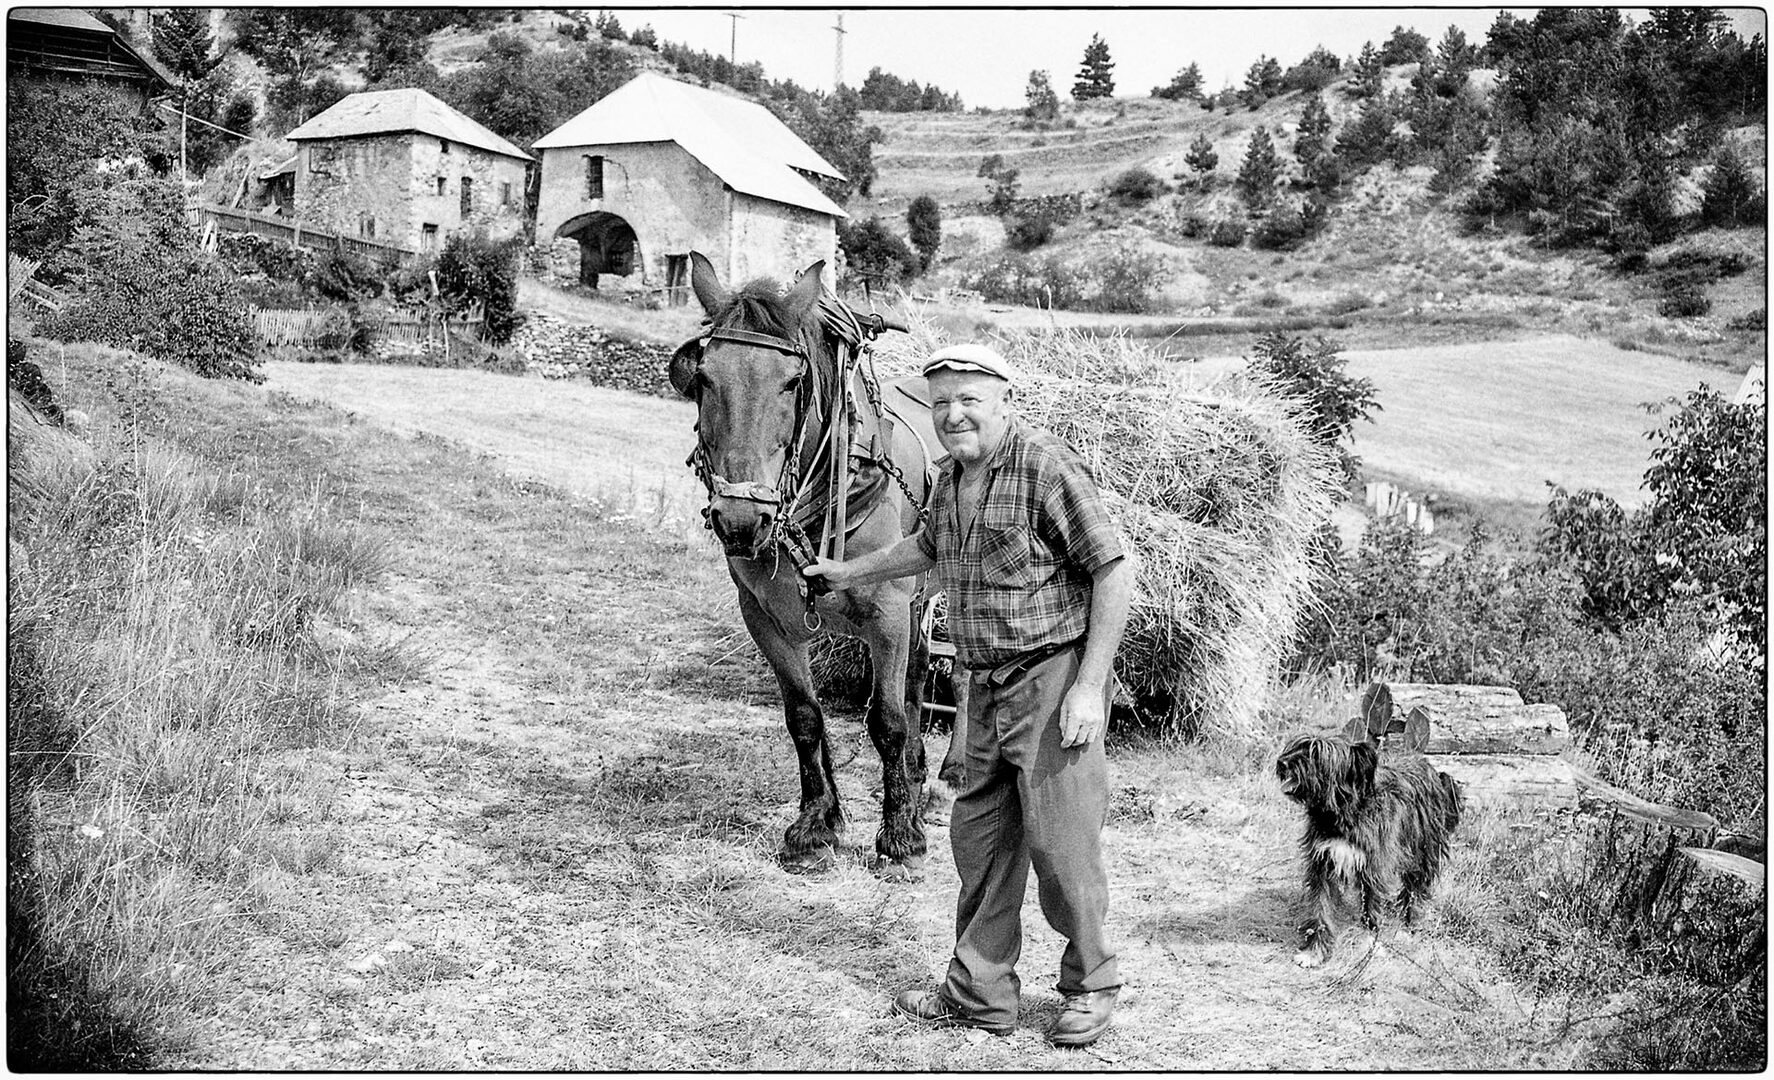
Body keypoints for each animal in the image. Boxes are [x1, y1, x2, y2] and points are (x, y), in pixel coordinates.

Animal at [663, 251, 943, 883]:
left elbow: (887, 722)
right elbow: (804, 717)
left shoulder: (888, 617)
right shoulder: (766, 620)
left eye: (793, 382)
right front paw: (817, 825)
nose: (740, 520)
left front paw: (898, 836)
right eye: (704, 377)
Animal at [1284, 734, 1461, 971]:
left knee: (1416, 889)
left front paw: (1371, 943)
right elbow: (1321, 910)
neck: (1342, 814)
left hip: (1423, 850)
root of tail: (1432, 769)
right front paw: (1314, 953)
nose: (1282, 763)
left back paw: (1410, 922)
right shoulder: (1322, 863)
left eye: (1316, 752)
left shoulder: (1375, 868)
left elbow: (1371, 909)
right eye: (1296, 746)